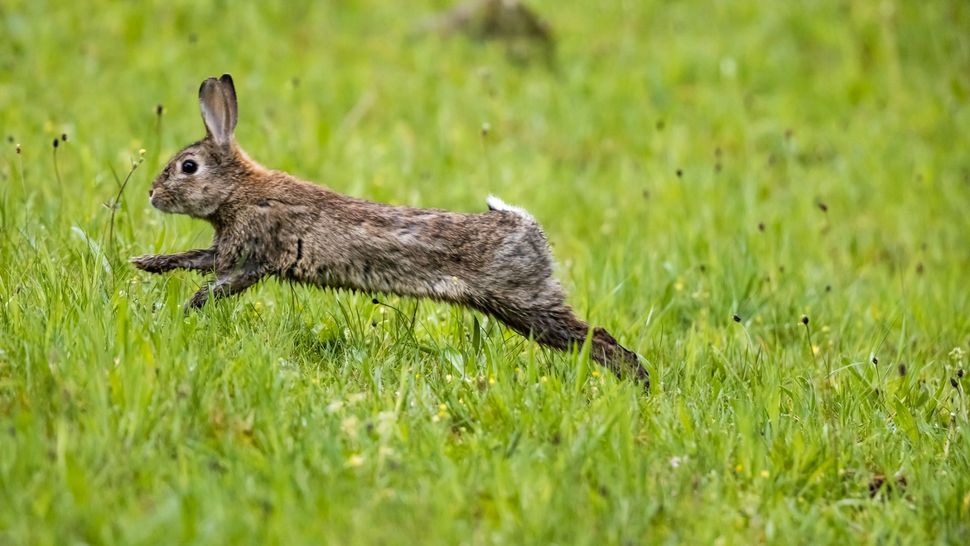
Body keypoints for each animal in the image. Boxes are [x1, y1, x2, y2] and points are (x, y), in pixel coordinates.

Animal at [131, 74, 649, 388]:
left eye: (188, 167)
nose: (152, 195)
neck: (240, 189)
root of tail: (525, 226)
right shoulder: (240, 255)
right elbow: (204, 268)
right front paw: (158, 276)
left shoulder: (250, 250)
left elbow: (210, 270)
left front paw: (173, 291)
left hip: (526, 301)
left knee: (596, 337)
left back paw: (639, 381)